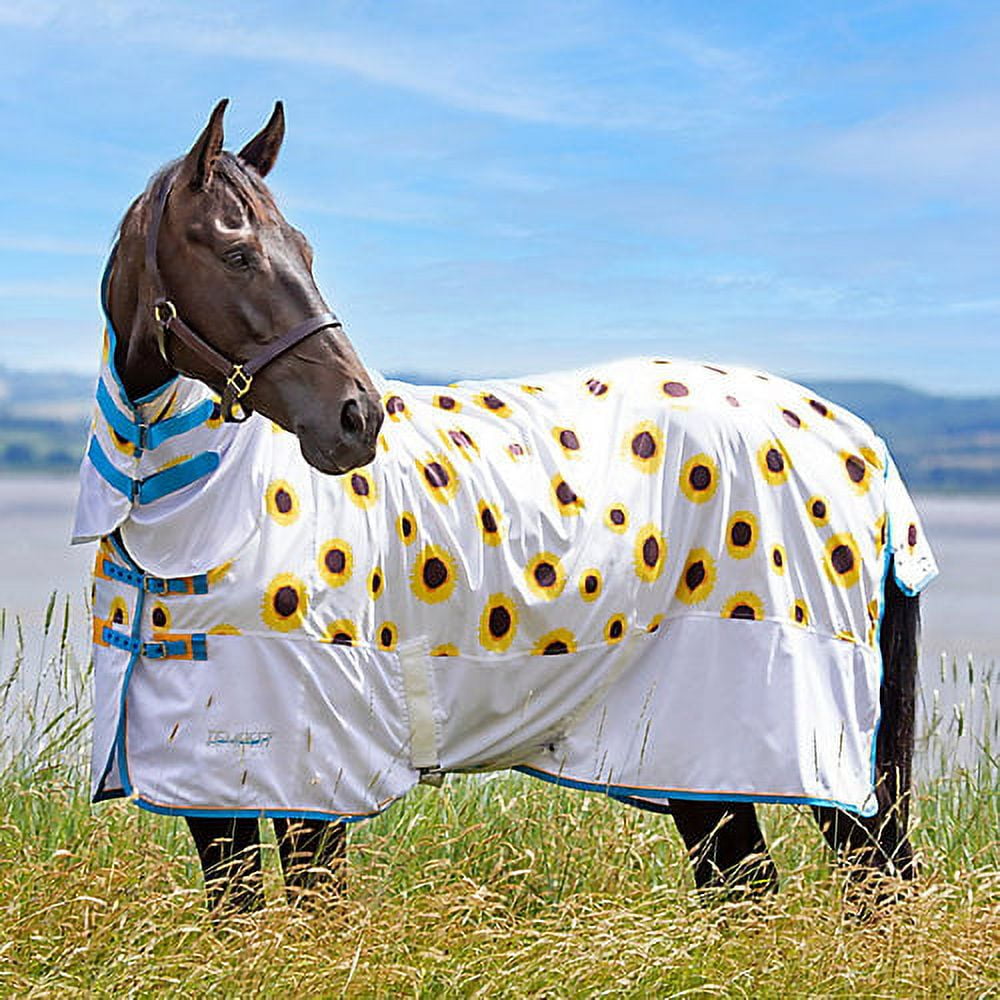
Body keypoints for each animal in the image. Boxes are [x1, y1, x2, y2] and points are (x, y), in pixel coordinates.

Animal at [74, 100, 934, 913]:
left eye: (306, 253)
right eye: (237, 254)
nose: (356, 417)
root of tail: (862, 442)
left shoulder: (307, 780)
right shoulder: (205, 785)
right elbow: (239, 915)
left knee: (865, 878)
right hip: (698, 762)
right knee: (748, 886)